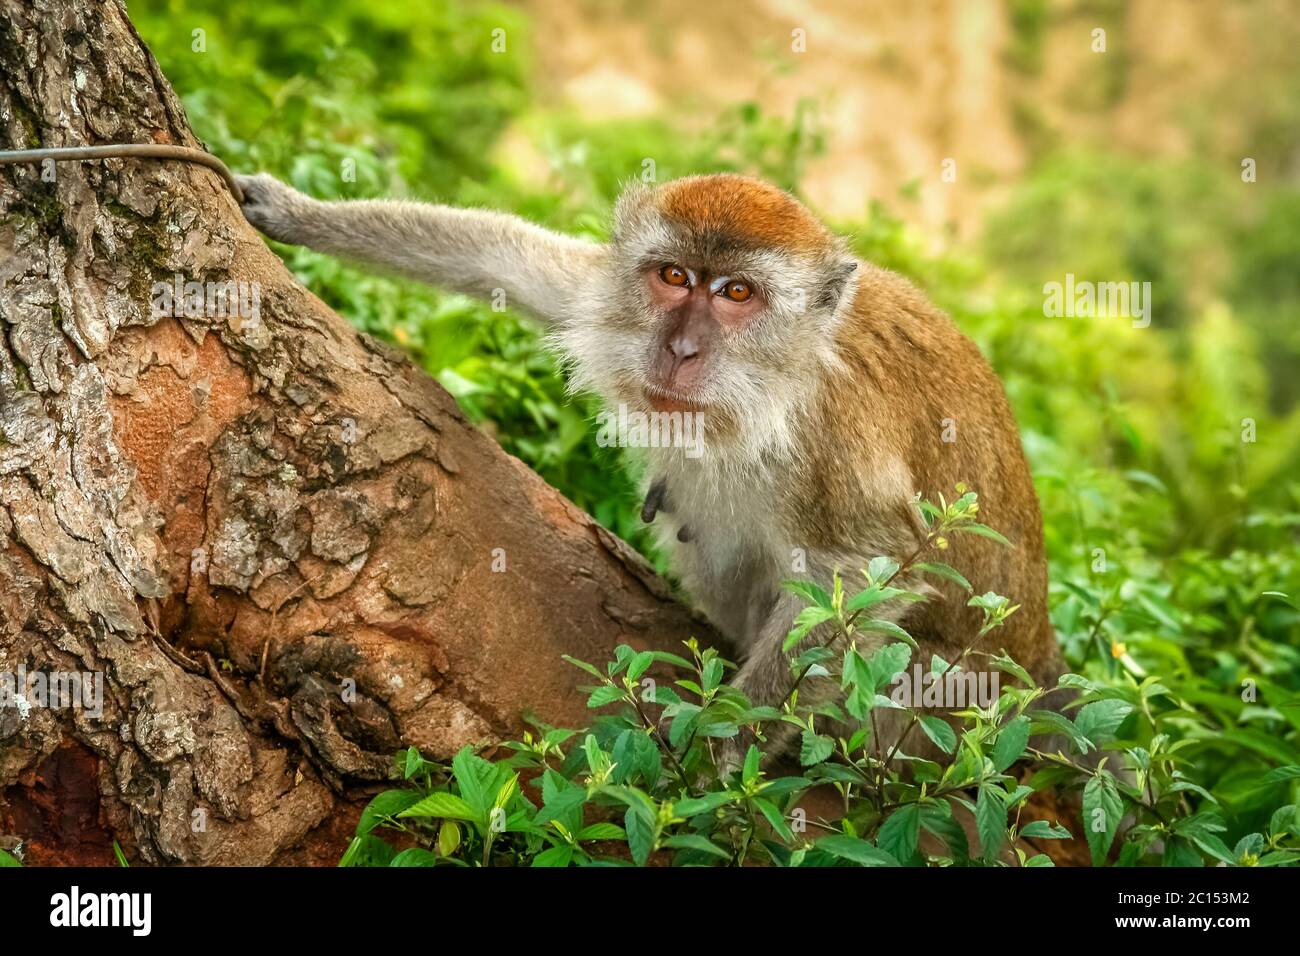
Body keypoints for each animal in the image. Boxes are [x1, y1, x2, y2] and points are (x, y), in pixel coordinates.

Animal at [234, 171, 1065, 768]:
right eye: (672, 276)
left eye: (736, 292)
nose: (681, 348)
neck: (774, 378)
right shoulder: (610, 298)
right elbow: (510, 261)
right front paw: (290, 209)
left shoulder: (835, 435)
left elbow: (866, 574)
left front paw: (718, 751)